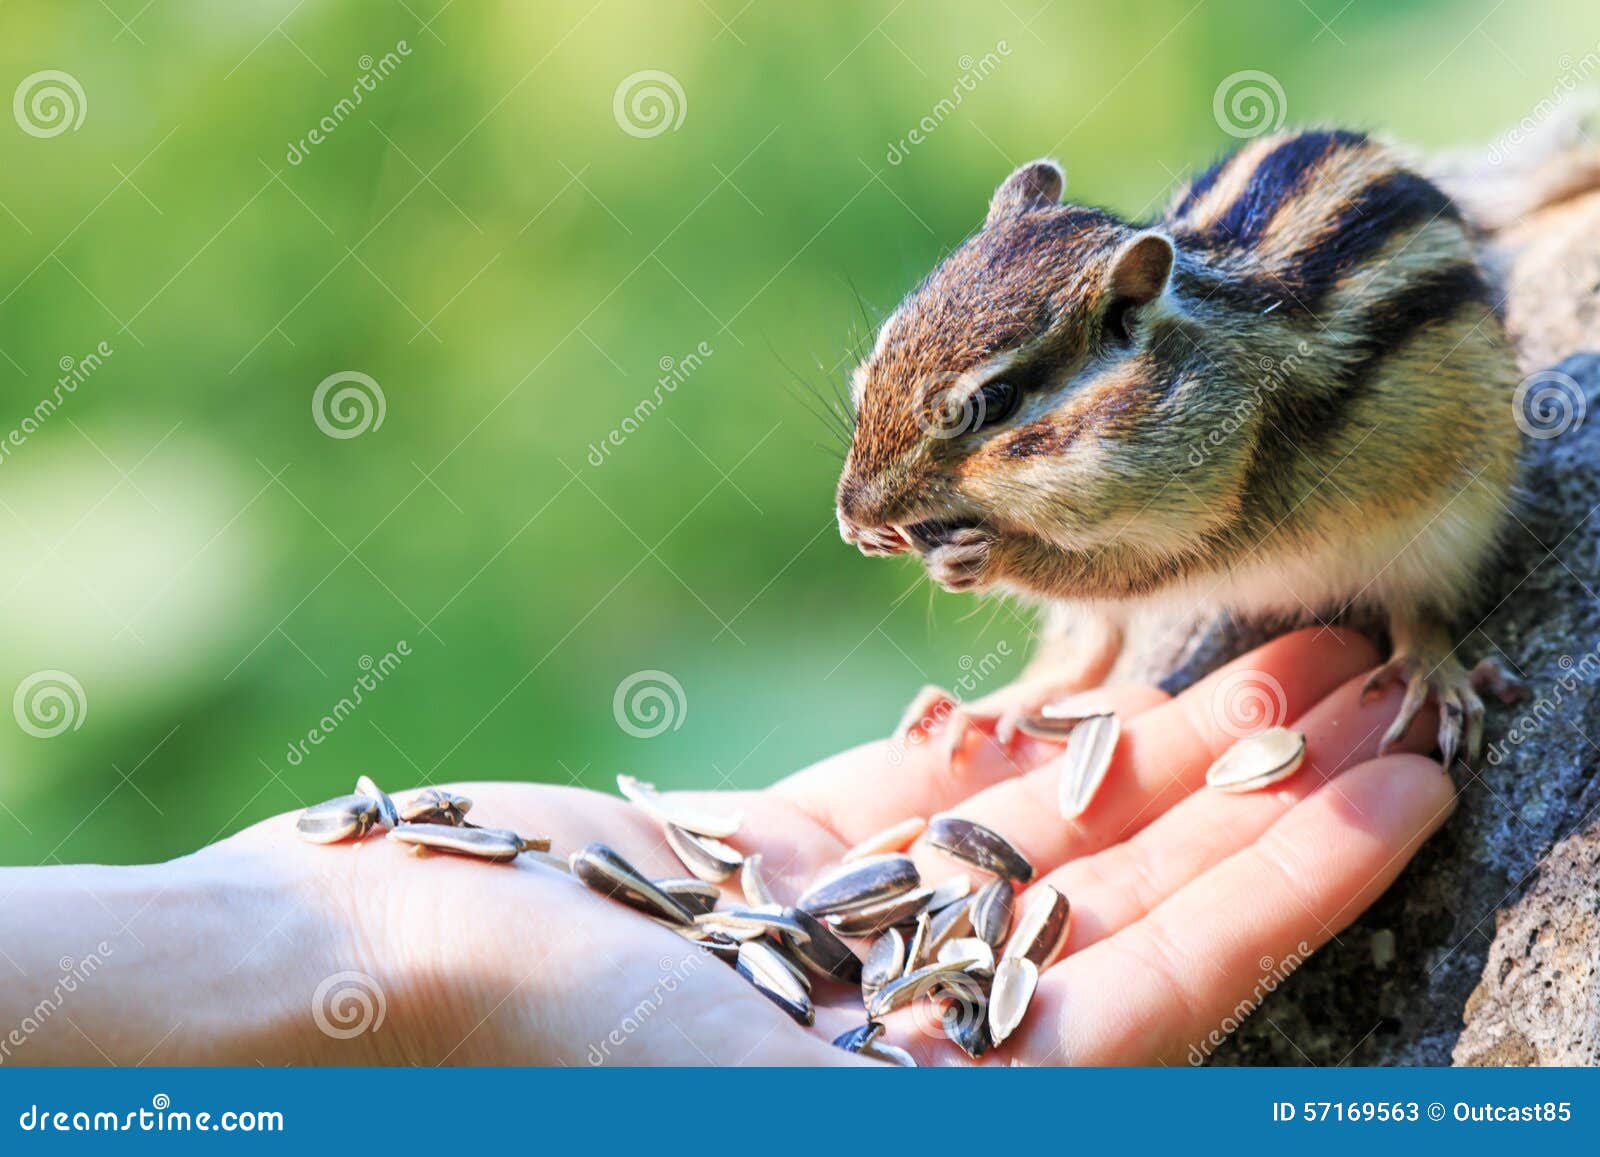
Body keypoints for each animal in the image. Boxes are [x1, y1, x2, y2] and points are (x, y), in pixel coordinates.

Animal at [835, 127, 1552, 769]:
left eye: (995, 398)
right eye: (883, 346)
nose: (851, 513)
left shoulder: (1219, 499)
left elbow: (1138, 570)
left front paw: (993, 556)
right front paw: (882, 538)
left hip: (1449, 525)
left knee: (1421, 606)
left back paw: (1429, 673)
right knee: (1087, 648)